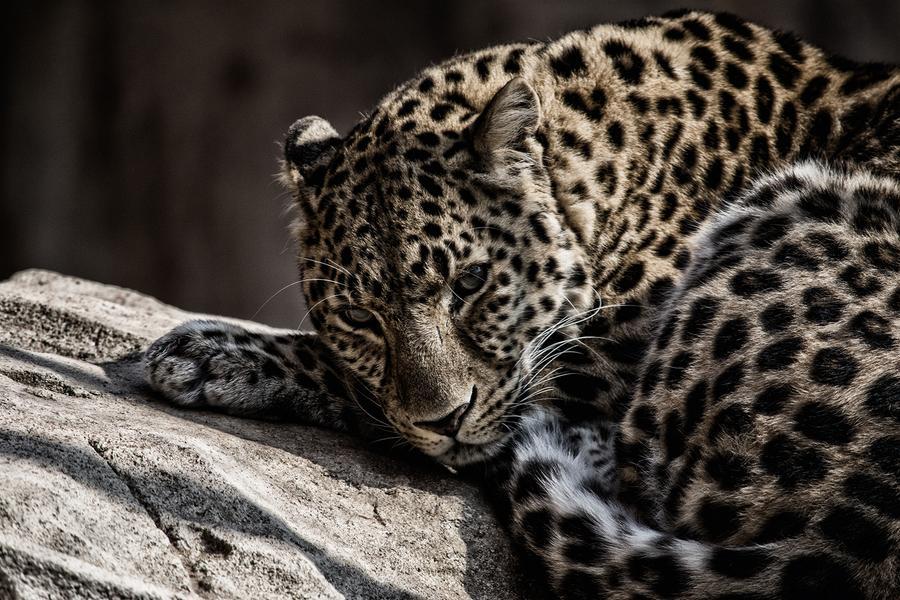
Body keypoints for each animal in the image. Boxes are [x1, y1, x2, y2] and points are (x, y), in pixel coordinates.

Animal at [145, 10, 900, 599]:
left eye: (472, 282)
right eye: (360, 317)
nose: (446, 421)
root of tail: (850, 537)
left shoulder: (593, 370)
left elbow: (372, 396)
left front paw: (210, 353)